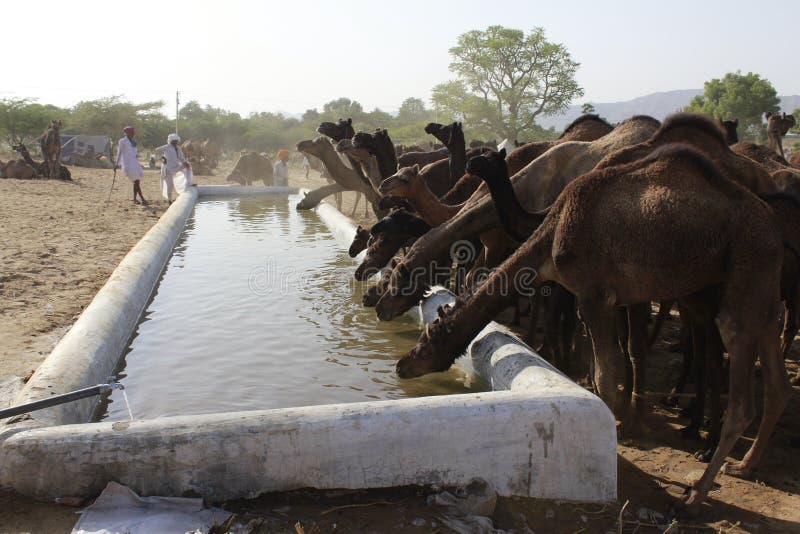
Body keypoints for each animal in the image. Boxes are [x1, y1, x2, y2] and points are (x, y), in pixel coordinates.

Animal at [396, 145, 792, 516]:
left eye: (429, 338)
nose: (402, 364)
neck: (552, 233)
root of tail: (775, 231)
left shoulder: (593, 293)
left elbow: (607, 374)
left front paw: (617, 438)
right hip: (761, 288)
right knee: (777, 379)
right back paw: (743, 465)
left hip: (746, 269)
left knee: (741, 389)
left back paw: (693, 499)